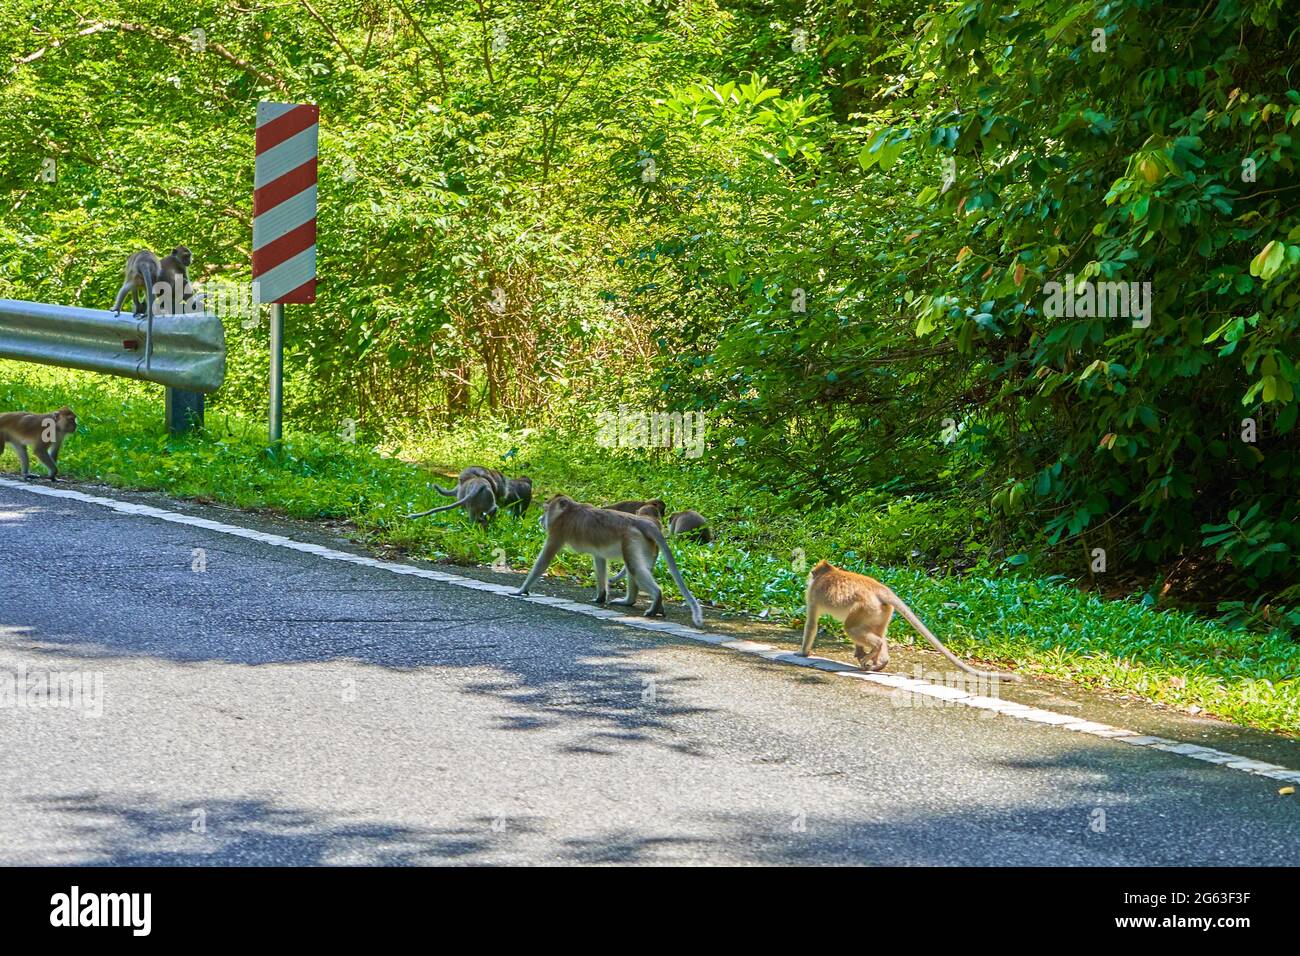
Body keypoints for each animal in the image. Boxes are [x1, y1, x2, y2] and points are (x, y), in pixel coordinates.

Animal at [514, 494, 704, 627]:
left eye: (546, 510)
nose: (540, 519)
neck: (569, 511)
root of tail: (644, 523)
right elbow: (599, 560)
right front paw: (600, 596)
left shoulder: (559, 530)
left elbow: (545, 559)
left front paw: (522, 590)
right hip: (646, 545)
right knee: (634, 567)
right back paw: (634, 602)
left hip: (632, 538)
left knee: (634, 567)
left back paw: (656, 598)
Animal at [799, 560, 1019, 682]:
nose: (809, 575)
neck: (829, 572)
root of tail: (881, 590)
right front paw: (859, 652)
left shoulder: (812, 594)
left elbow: (811, 624)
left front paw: (802, 653)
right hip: (881, 611)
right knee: (877, 633)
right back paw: (879, 661)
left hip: (863, 608)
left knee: (852, 628)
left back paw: (874, 652)